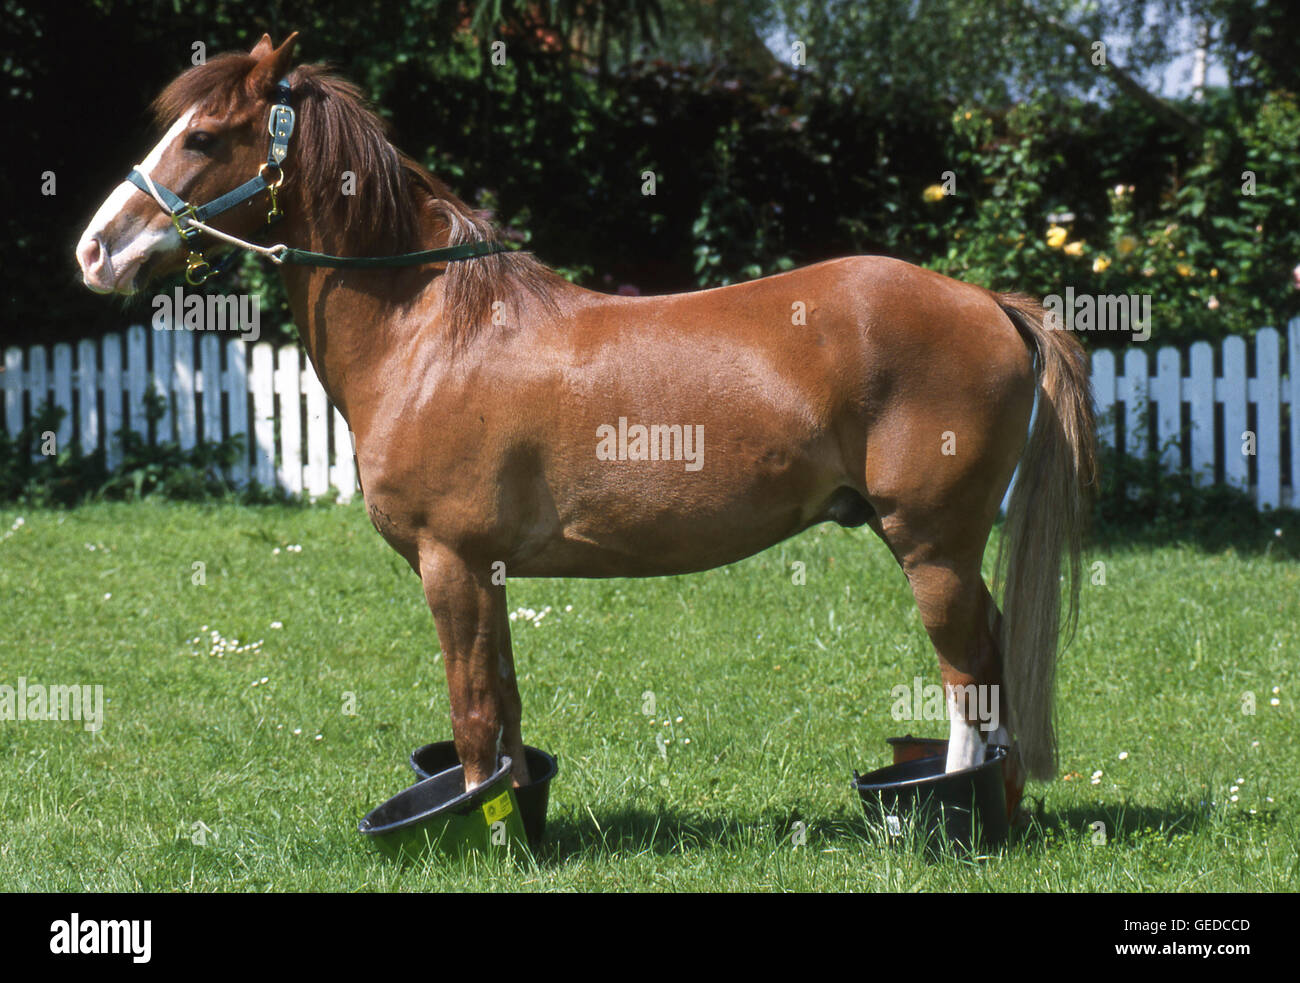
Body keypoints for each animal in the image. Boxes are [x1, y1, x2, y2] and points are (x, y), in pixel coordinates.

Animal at [76, 34, 1096, 819]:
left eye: (203, 137)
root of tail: (989, 304)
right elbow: (506, 711)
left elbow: (473, 717)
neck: (436, 332)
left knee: (969, 682)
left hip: (930, 548)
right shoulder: (485, 572)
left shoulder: (450, 563)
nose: (95, 250)